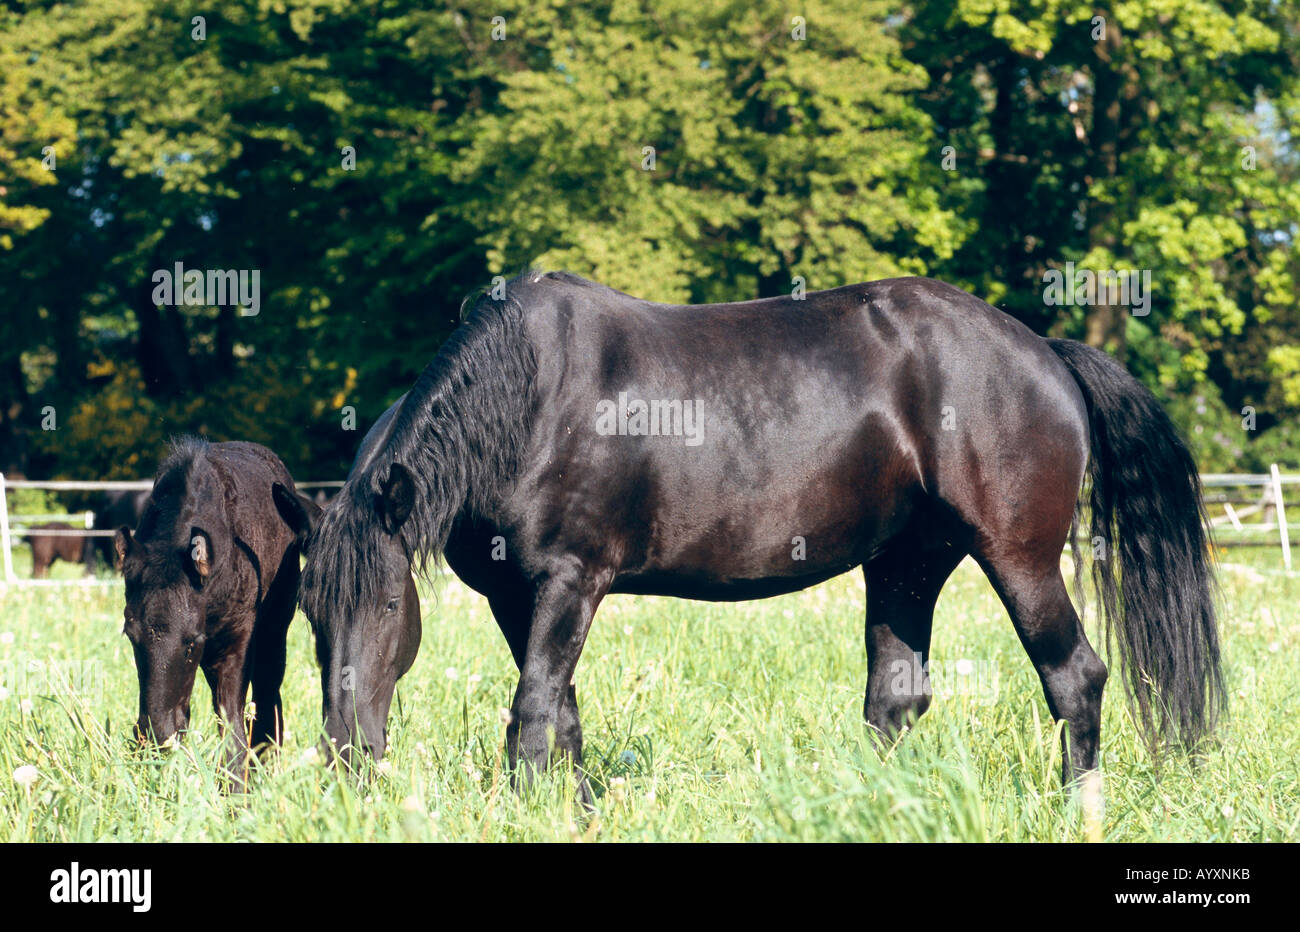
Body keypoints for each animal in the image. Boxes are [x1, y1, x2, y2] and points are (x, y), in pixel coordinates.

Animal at [117, 438, 314, 777]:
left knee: (267, 693)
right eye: (131, 635)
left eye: (190, 644)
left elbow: (232, 724)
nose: (156, 735)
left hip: (275, 629)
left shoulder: (236, 643)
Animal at [280, 270, 1223, 797]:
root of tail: (1044, 351)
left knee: (1075, 679)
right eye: (311, 616)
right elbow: (561, 714)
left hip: (1017, 557)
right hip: (906, 565)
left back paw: (1077, 808)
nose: (347, 759)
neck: (528, 403)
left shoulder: (571, 581)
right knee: (896, 698)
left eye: (388, 605)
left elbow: (535, 714)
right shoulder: (519, 597)